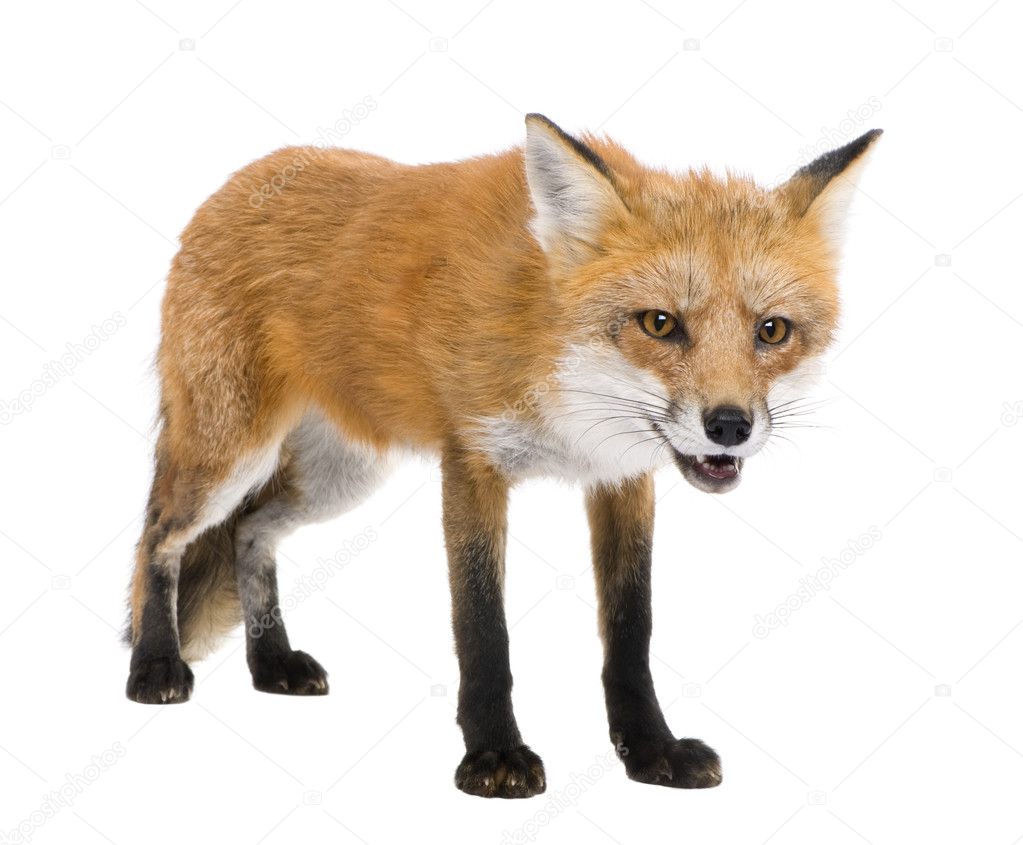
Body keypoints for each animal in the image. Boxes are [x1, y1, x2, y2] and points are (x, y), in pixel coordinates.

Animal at [126, 113, 881, 798]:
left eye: (772, 331)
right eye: (659, 323)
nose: (728, 425)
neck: (559, 375)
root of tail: (239, 180)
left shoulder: (621, 474)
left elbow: (630, 631)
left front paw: (648, 750)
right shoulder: (472, 462)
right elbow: (482, 629)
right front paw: (493, 756)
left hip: (339, 475)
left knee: (250, 533)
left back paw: (270, 662)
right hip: (230, 455)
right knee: (161, 534)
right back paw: (154, 667)